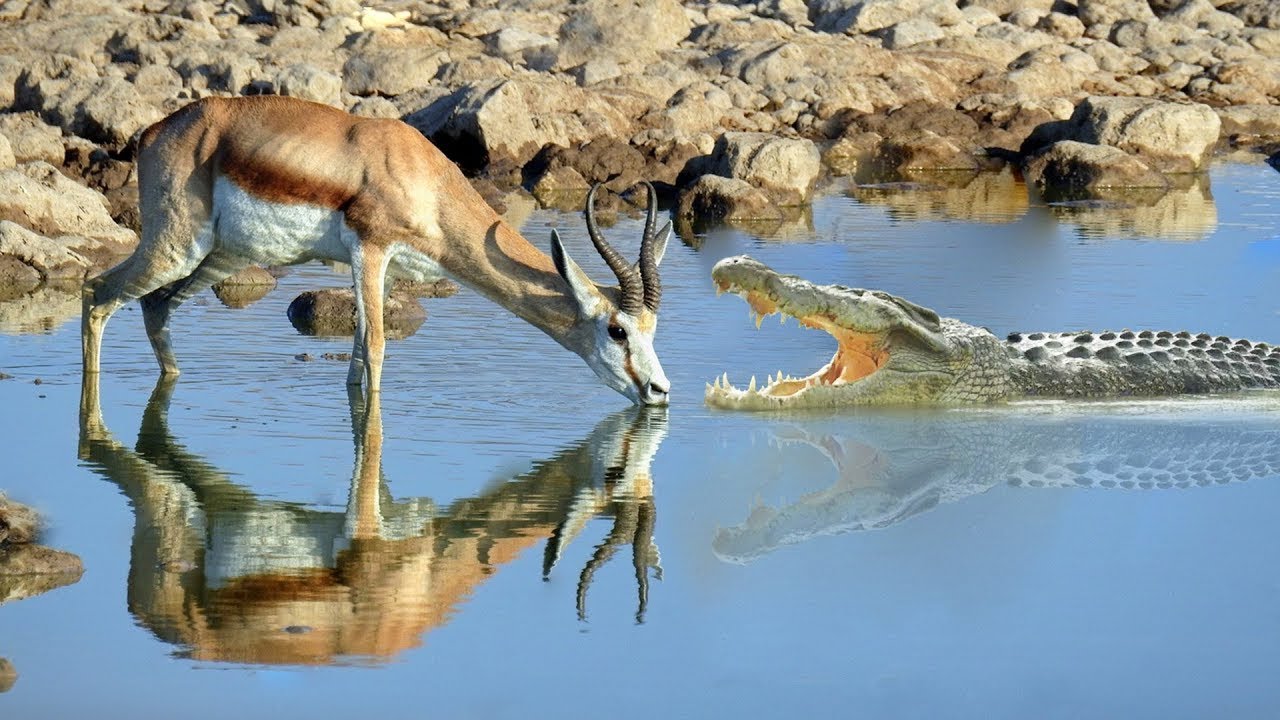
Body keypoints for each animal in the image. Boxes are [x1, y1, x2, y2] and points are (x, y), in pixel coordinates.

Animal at [81, 95, 671, 405]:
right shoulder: (370, 250)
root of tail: (155, 130)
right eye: (616, 329)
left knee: (153, 305)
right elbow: (379, 347)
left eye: (652, 331)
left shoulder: (379, 268)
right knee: (95, 291)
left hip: (219, 257)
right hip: (176, 247)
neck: (424, 179)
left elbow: (359, 353)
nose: (660, 390)